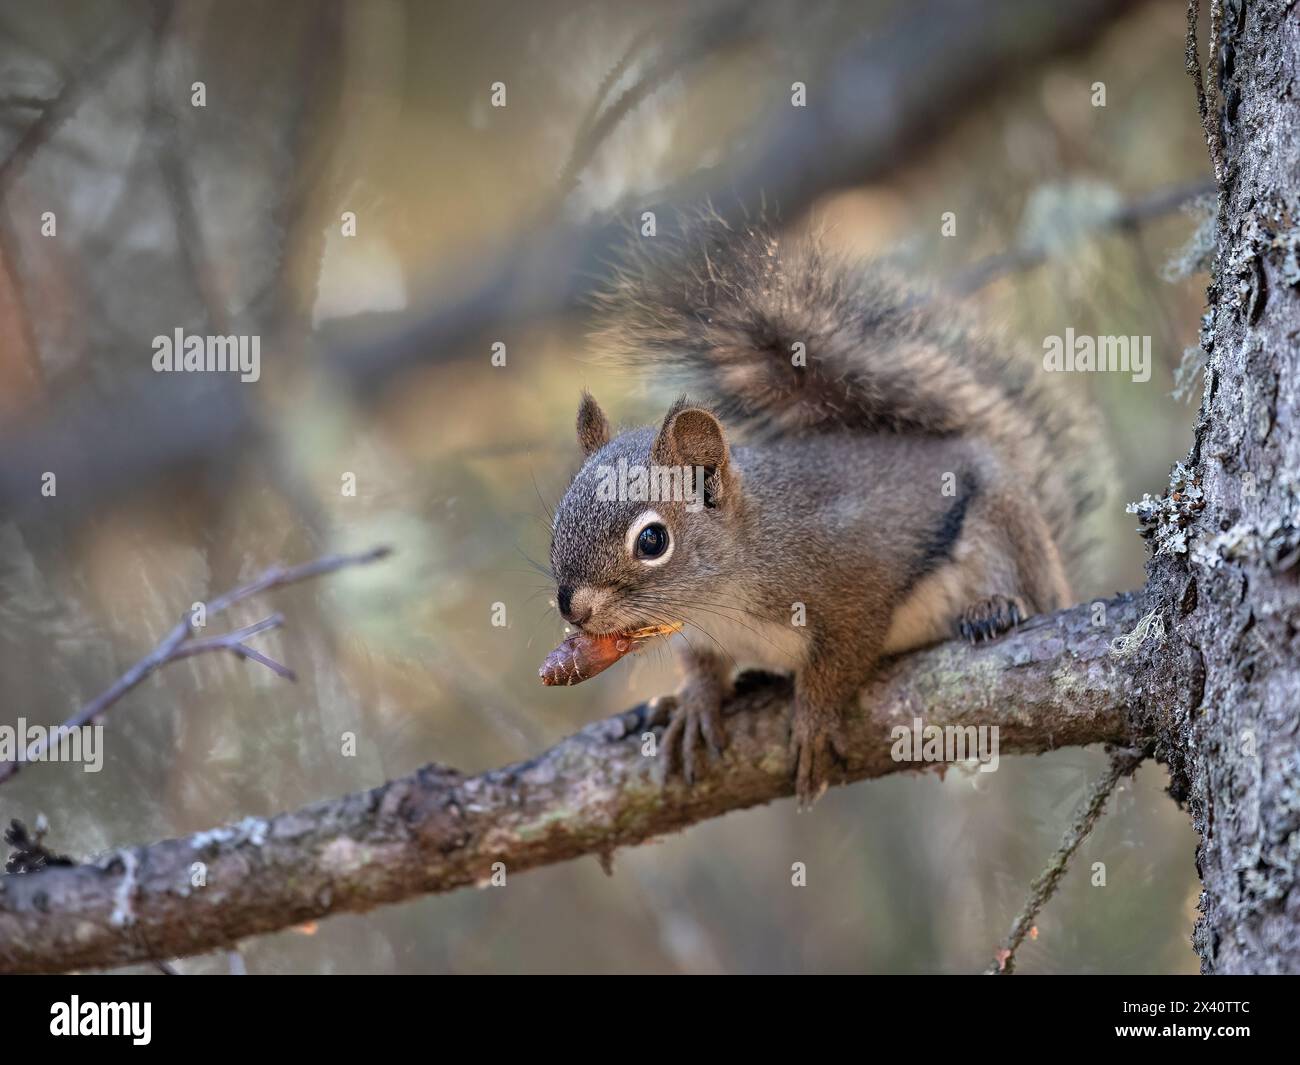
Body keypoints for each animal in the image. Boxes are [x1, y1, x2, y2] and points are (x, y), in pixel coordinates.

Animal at [547, 212, 1105, 807]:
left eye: (652, 540)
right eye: (556, 521)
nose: (572, 609)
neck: (720, 597)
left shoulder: (853, 581)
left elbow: (839, 662)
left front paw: (814, 720)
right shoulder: (701, 634)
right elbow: (702, 665)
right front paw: (696, 701)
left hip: (1005, 523)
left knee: (1027, 589)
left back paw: (993, 608)